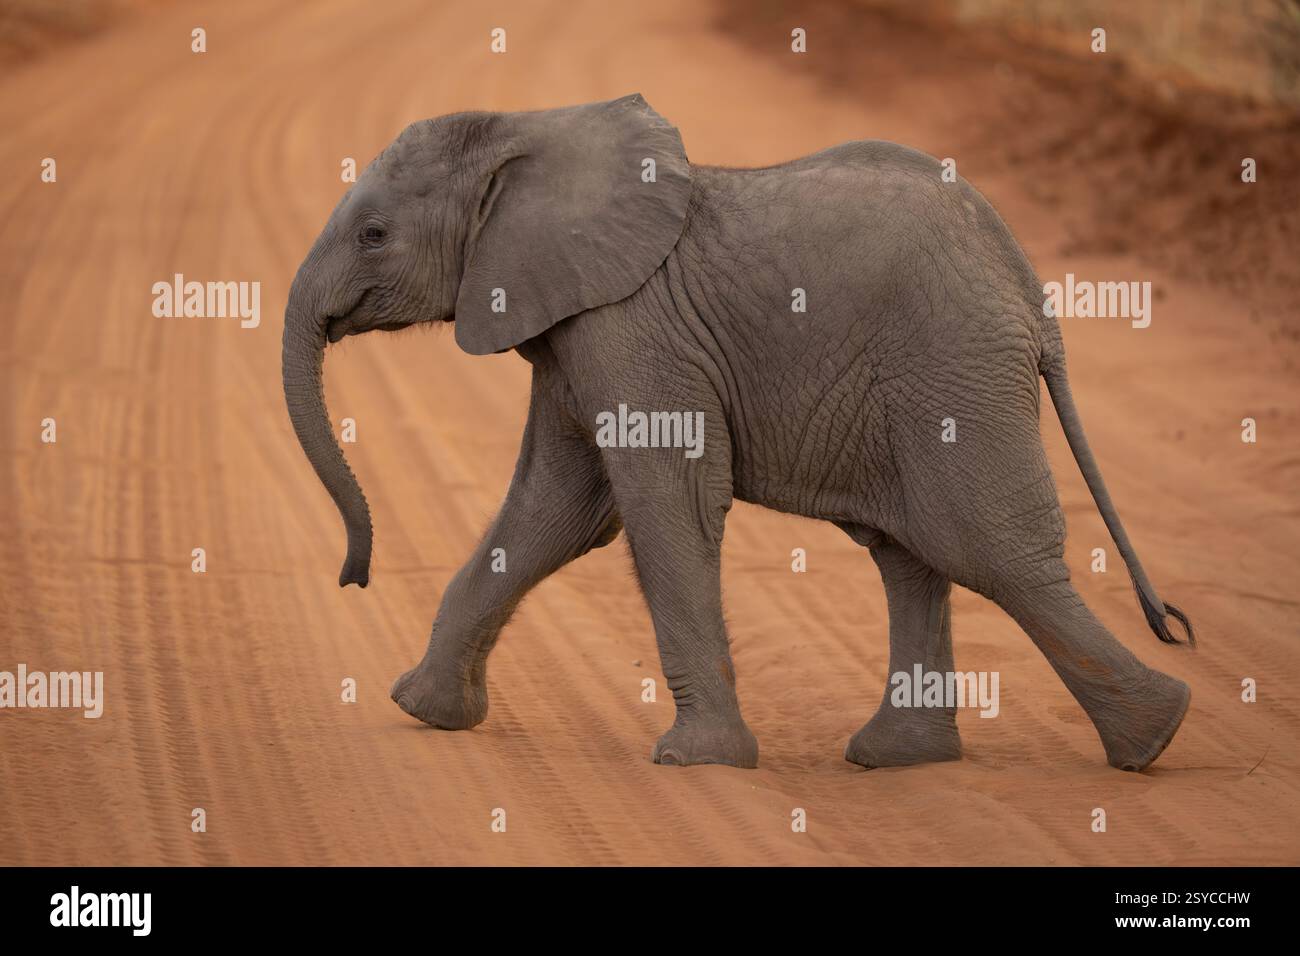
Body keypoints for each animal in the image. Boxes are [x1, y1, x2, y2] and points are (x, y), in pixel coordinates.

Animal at [282, 93, 1193, 772]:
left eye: (373, 236)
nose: (353, 577)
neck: (524, 128)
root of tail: (1027, 285)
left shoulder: (630, 325)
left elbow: (664, 503)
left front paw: (698, 762)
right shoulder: (575, 328)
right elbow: (555, 510)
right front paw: (425, 711)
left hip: (952, 364)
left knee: (987, 547)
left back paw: (1155, 736)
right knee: (912, 554)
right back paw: (900, 758)